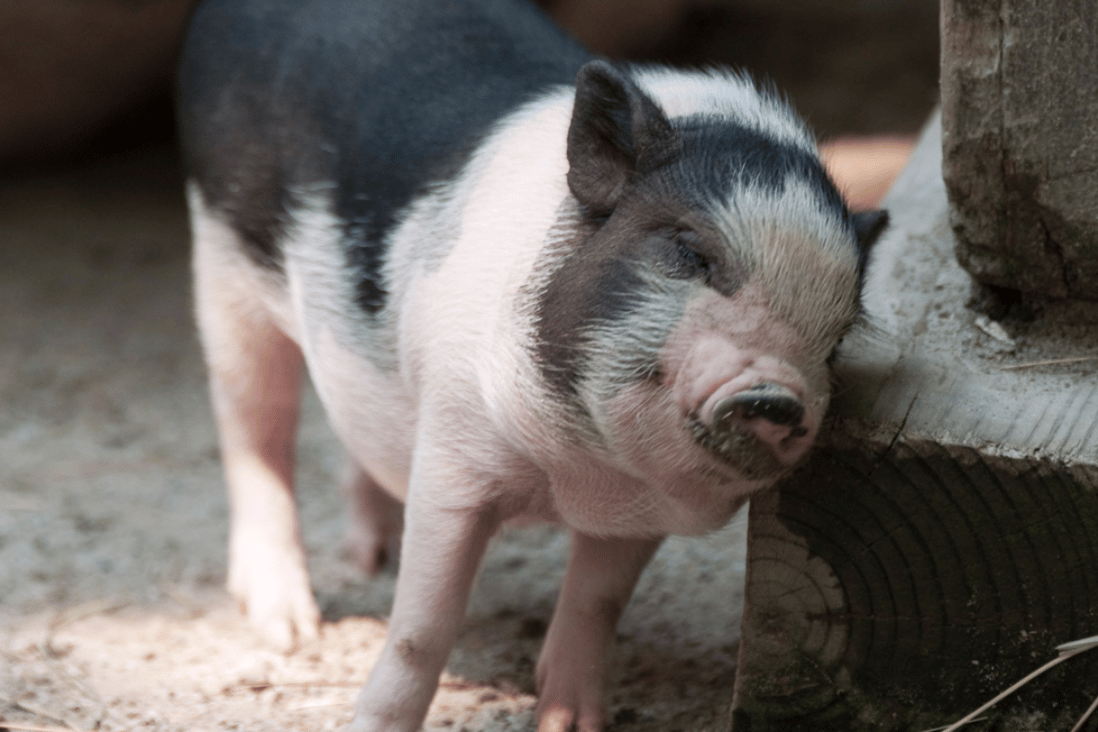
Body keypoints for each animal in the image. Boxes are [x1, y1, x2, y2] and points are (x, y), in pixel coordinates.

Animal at [175, 0, 888, 730]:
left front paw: (570, 721)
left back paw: (373, 557)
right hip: (221, 260)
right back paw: (289, 629)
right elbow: (422, 629)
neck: (572, 473)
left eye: (838, 335)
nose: (776, 396)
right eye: (692, 252)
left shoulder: (638, 512)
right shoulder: (453, 456)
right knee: (255, 427)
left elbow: (596, 606)